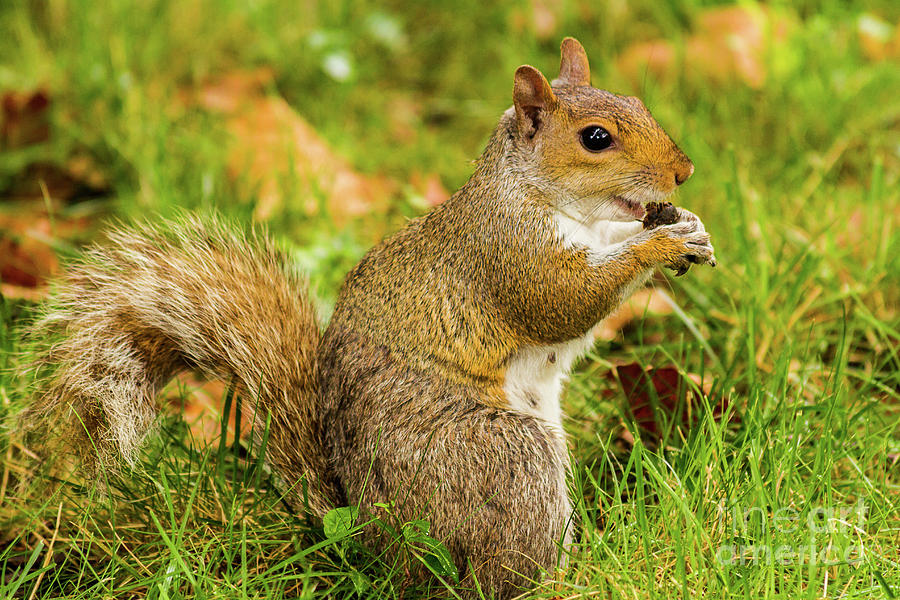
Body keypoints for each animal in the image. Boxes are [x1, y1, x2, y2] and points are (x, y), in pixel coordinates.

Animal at [22, 38, 715, 598]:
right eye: (595, 138)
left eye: (637, 101)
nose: (684, 171)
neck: (549, 201)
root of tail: (375, 544)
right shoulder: (506, 257)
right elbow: (564, 302)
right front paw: (657, 245)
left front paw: (690, 230)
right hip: (499, 457)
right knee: (495, 573)